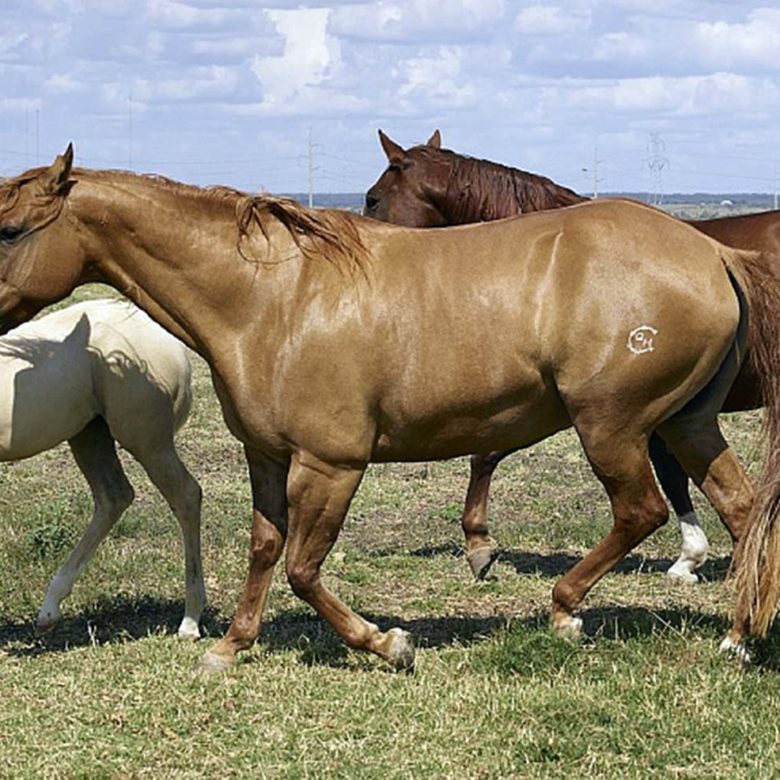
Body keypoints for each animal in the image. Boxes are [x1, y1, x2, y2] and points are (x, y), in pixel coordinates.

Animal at [0, 298, 205, 639]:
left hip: (147, 441)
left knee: (186, 496)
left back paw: (190, 620)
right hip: (89, 434)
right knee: (114, 496)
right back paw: (49, 609)